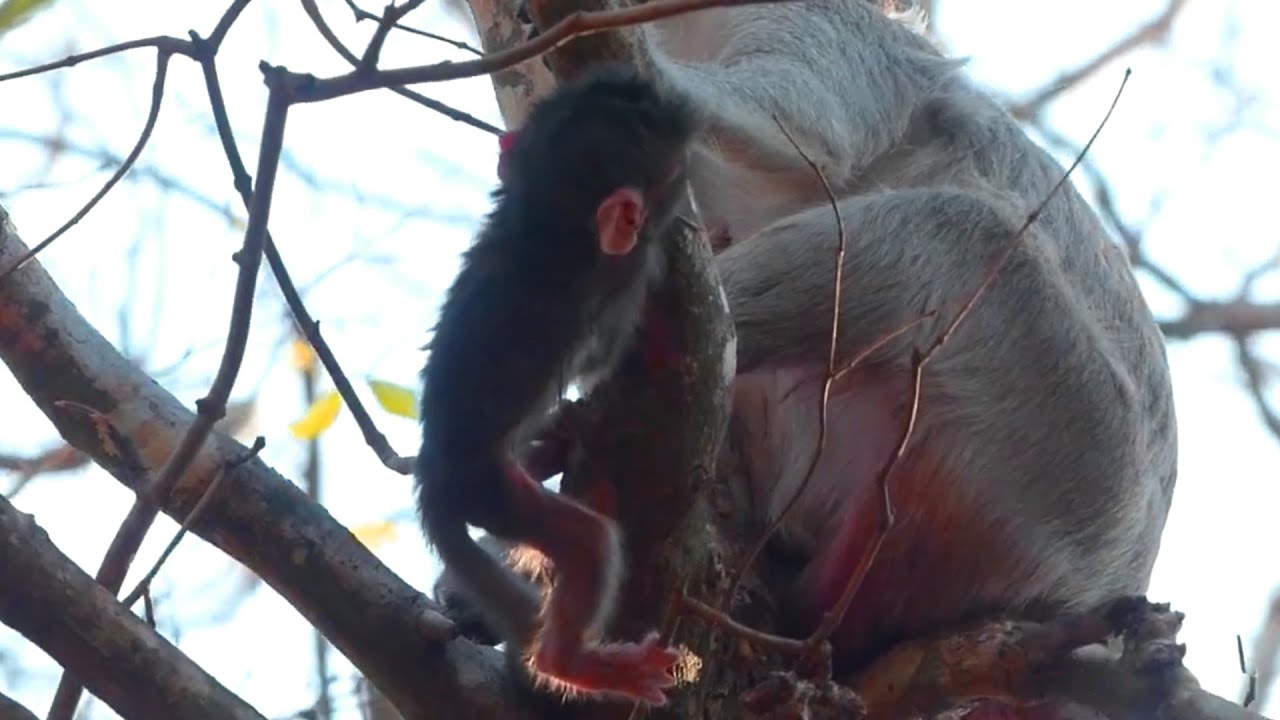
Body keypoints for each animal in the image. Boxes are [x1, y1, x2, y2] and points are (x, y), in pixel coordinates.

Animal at [414, 64, 697, 706]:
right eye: (671, 179)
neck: (543, 214)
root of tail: (431, 477)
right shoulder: (623, 274)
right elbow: (603, 357)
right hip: (492, 491)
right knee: (589, 544)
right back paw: (570, 662)